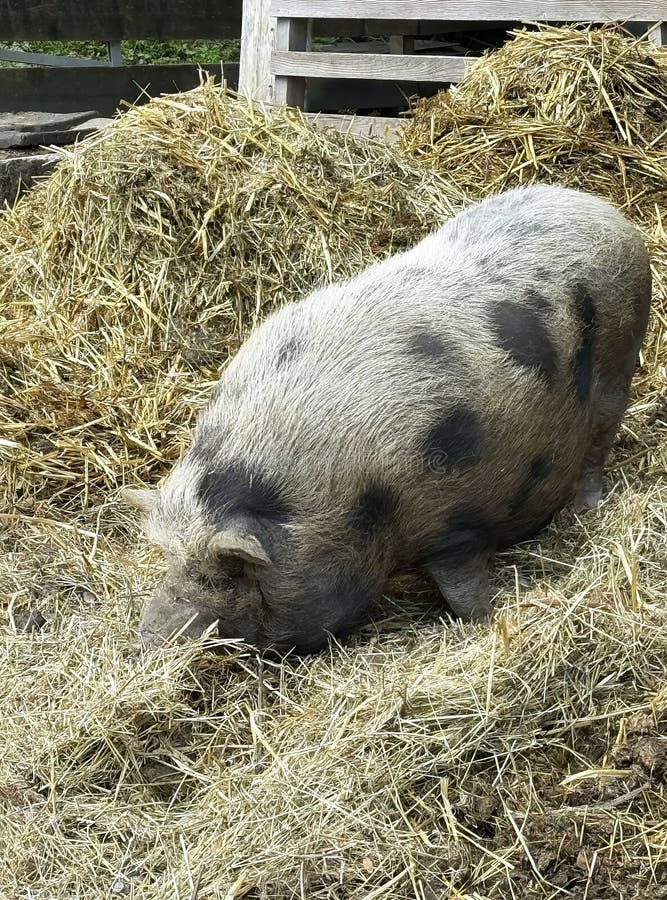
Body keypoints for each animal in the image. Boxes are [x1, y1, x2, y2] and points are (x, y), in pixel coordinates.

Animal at [124, 184, 651, 653]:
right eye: (169, 559)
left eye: (222, 574)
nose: (145, 638)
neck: (358, 501)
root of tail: (609, 214)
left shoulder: (455, 523)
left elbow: (463, 588)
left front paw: (488, 619)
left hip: (620, 359)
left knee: (601, 436)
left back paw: (585, 508)